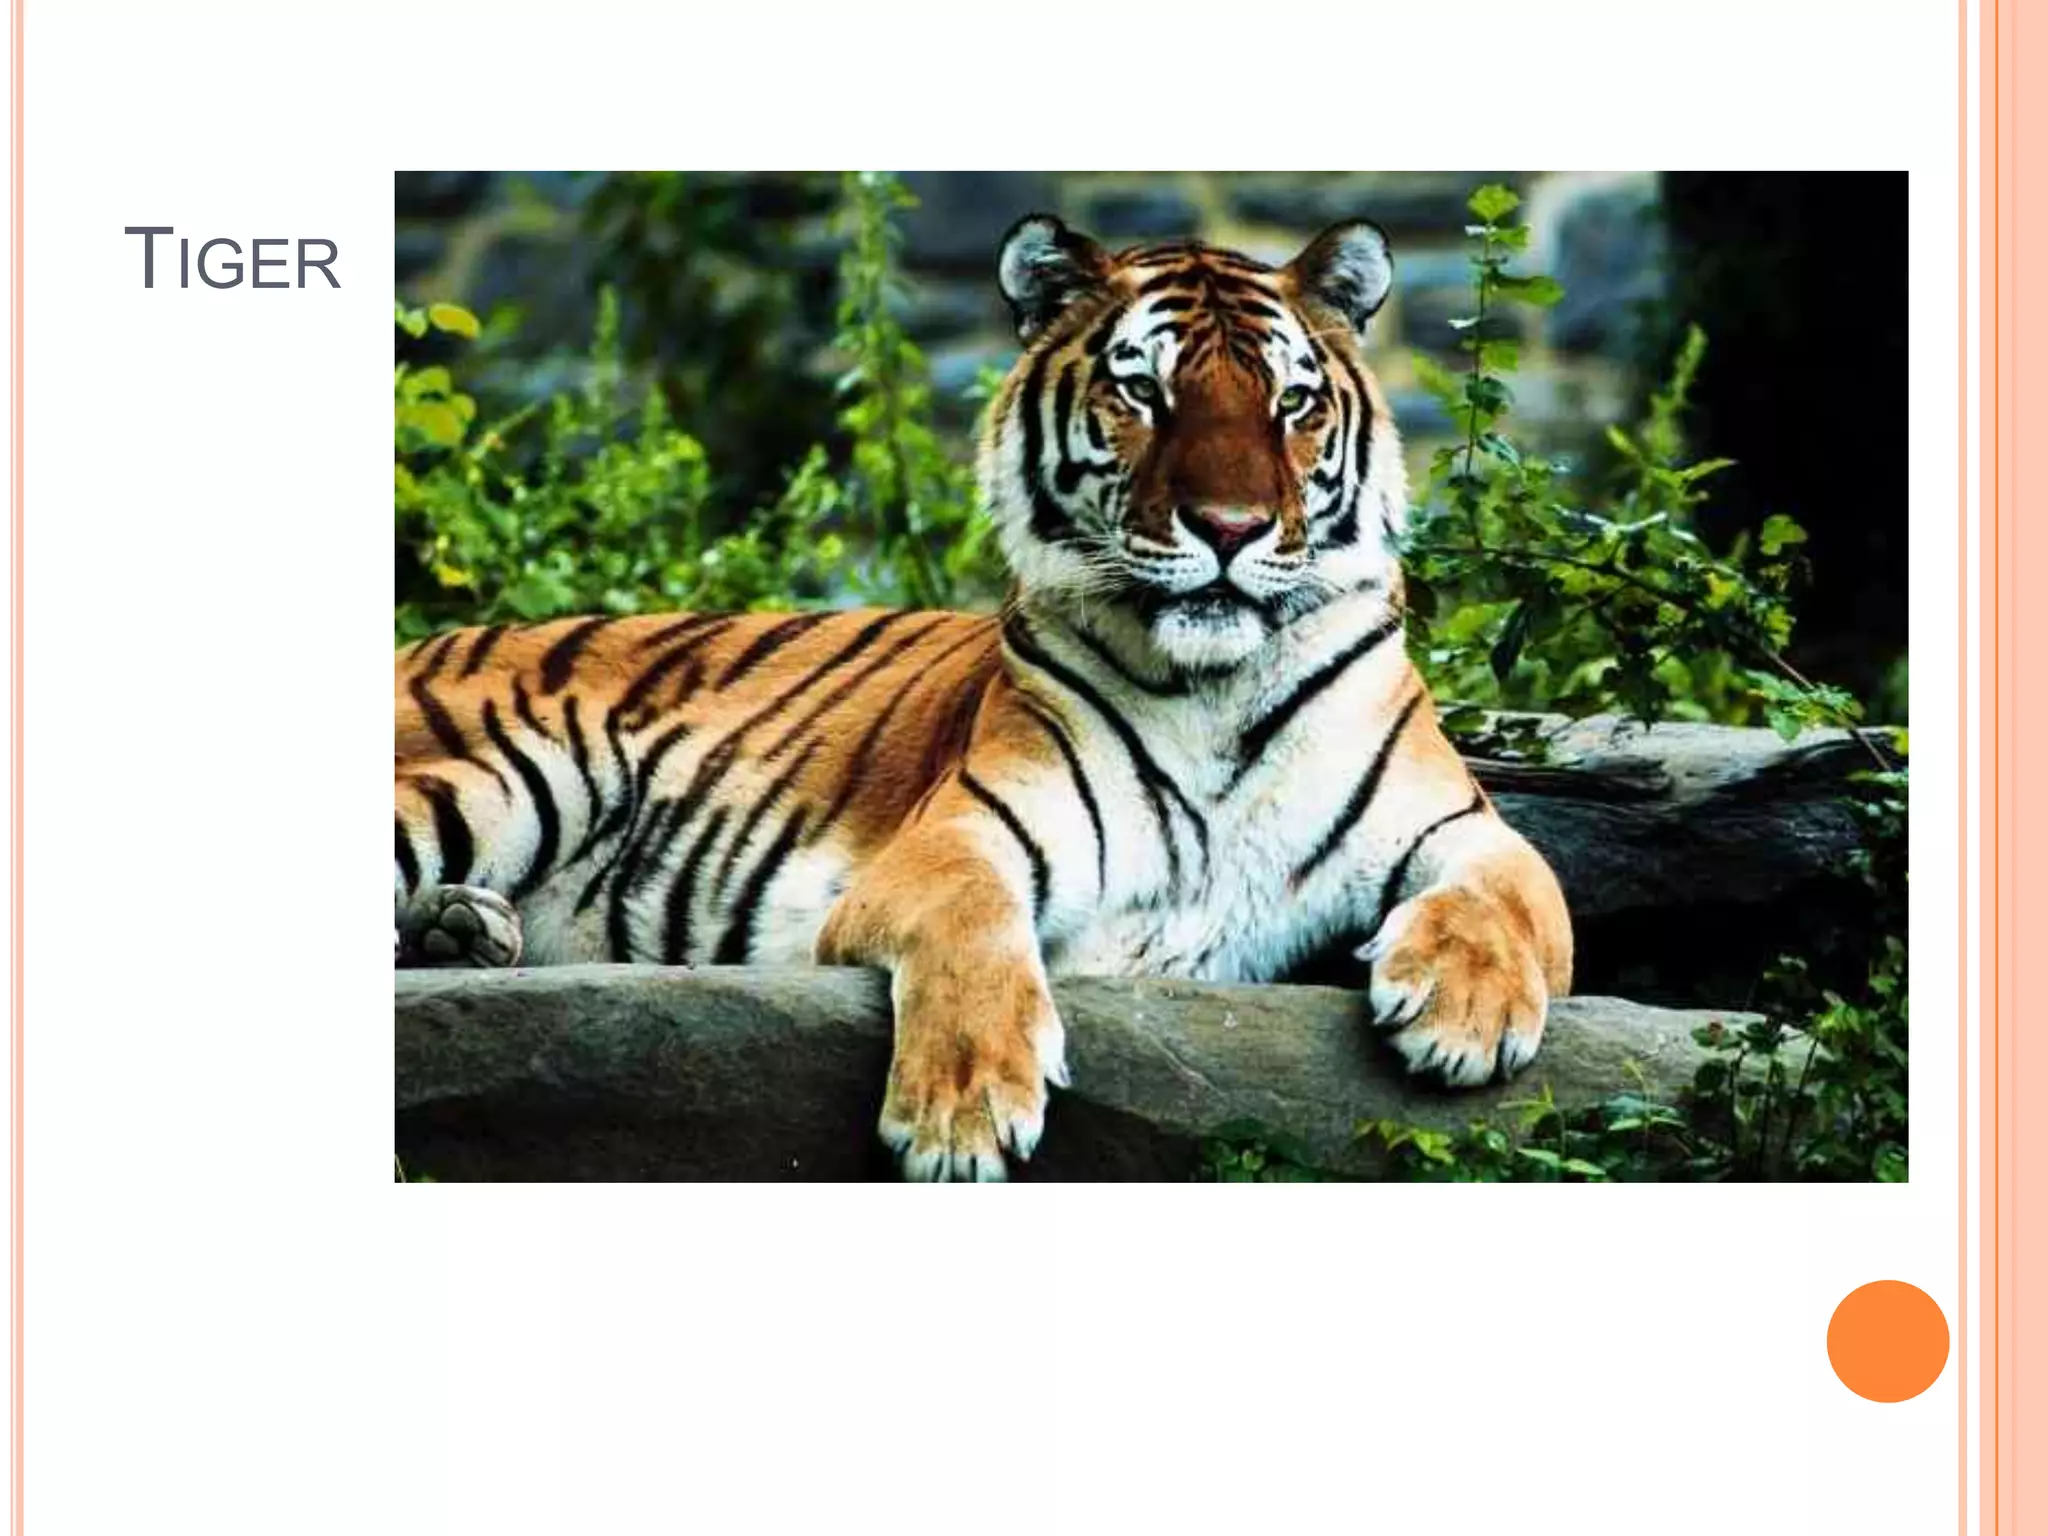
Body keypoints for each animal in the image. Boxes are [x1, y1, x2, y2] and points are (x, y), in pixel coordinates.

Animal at [394, 212, 1574, 1181]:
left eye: (1292, 404)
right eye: (1143, 392)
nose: (1231, 528)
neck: (1213, 690)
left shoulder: (1461, 825)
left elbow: (1509, 896)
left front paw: (1462, 1018)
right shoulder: (959, 836)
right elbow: (973, 926)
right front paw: (962, 1116)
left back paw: (461, 930)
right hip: (523, 772)